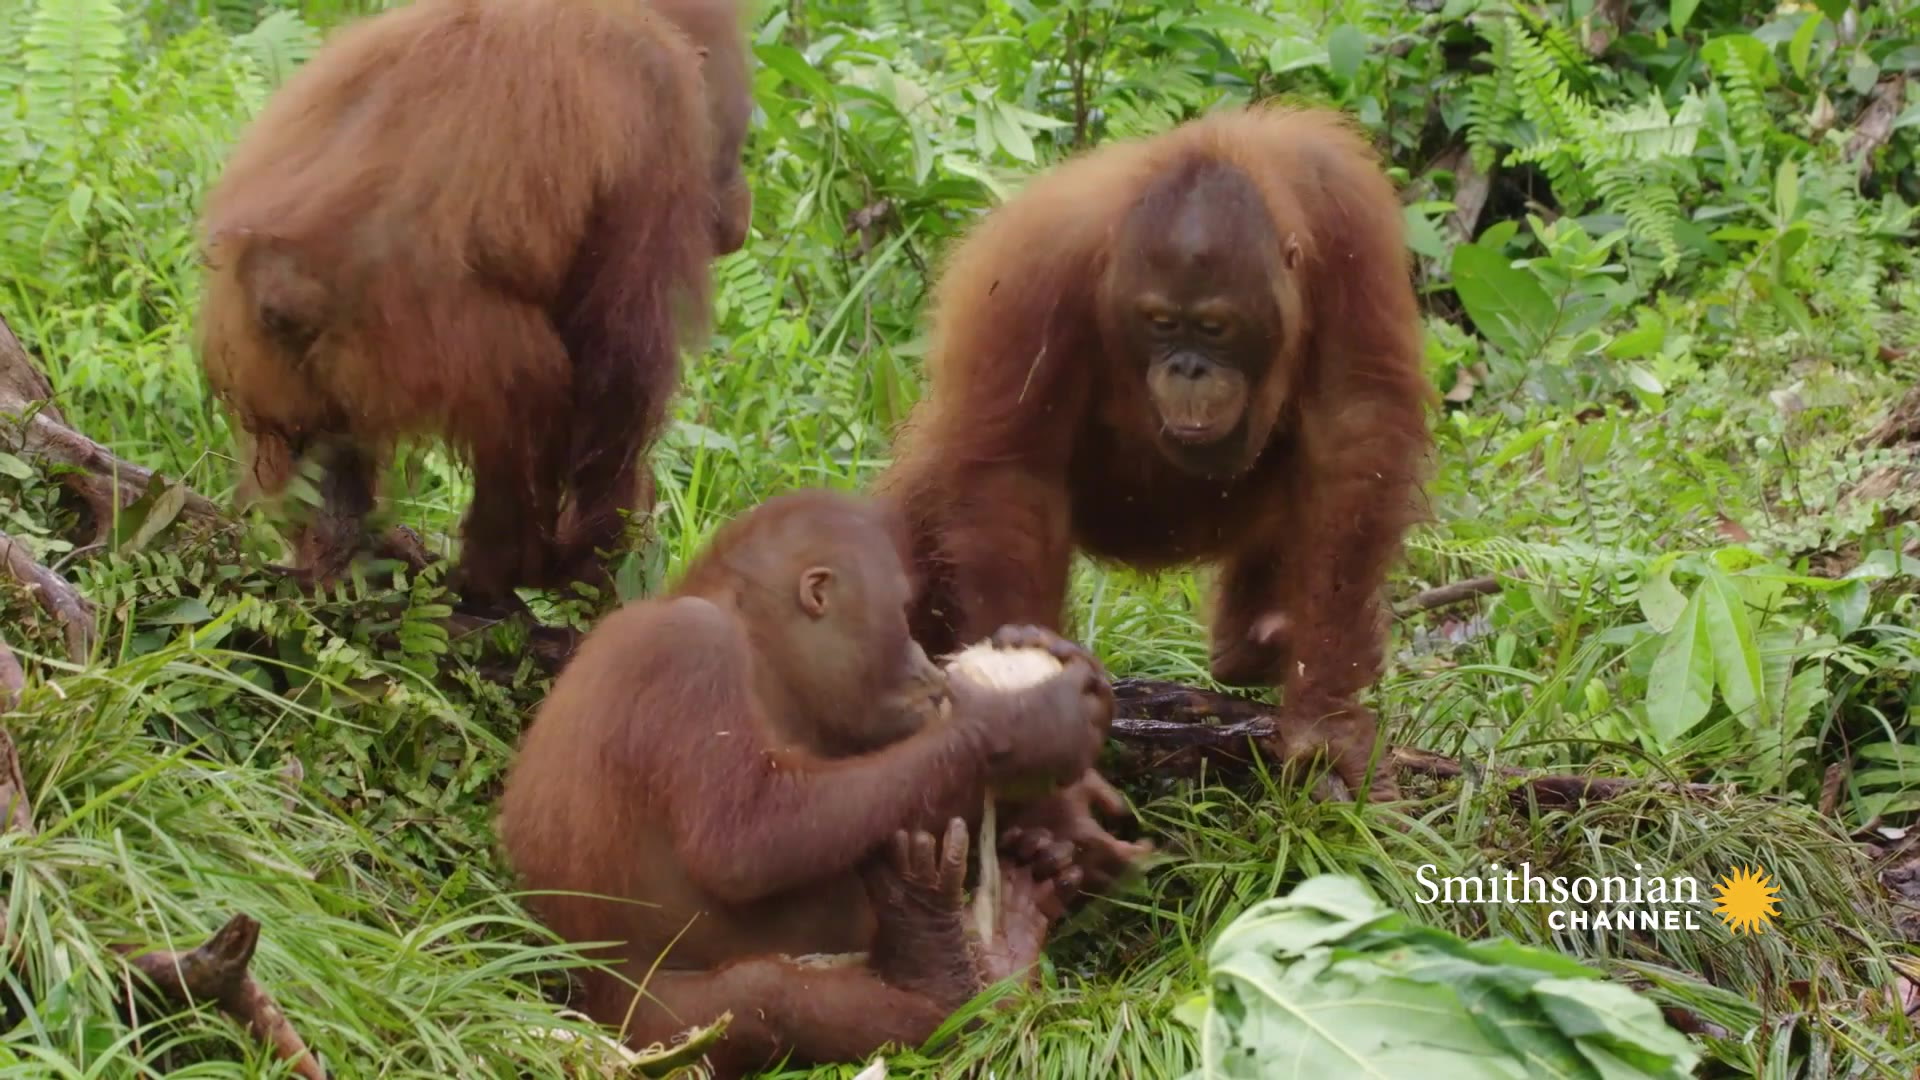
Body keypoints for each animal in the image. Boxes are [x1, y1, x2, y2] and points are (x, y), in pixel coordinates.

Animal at [195, 0, 753, 612]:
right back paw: (495, 578)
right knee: (532, 391)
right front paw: (596, 572)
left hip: (252, 344)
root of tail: (285, 282)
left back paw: (345, 559)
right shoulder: (662, 108)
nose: (739, 203)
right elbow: (620, 368)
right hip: (424, 340)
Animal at [495, 489, 1113, 1077]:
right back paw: (940, 969)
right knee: (762, 998)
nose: (923, 658)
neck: (759, 660)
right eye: (904, 613)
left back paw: (1006, 948)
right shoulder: (690, 651)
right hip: (643, 1029)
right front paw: (1032, 721)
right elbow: (740, 841)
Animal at [878, 104, 1436, 802]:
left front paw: (1327, 722)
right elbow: (1012, 471)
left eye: (1215, 328)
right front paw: (1036, 732)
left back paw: (1258, 636)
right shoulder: (1036, 269)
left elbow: (1353, 428)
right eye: (1160, 323)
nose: (1188, 369)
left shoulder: (1344, 211)